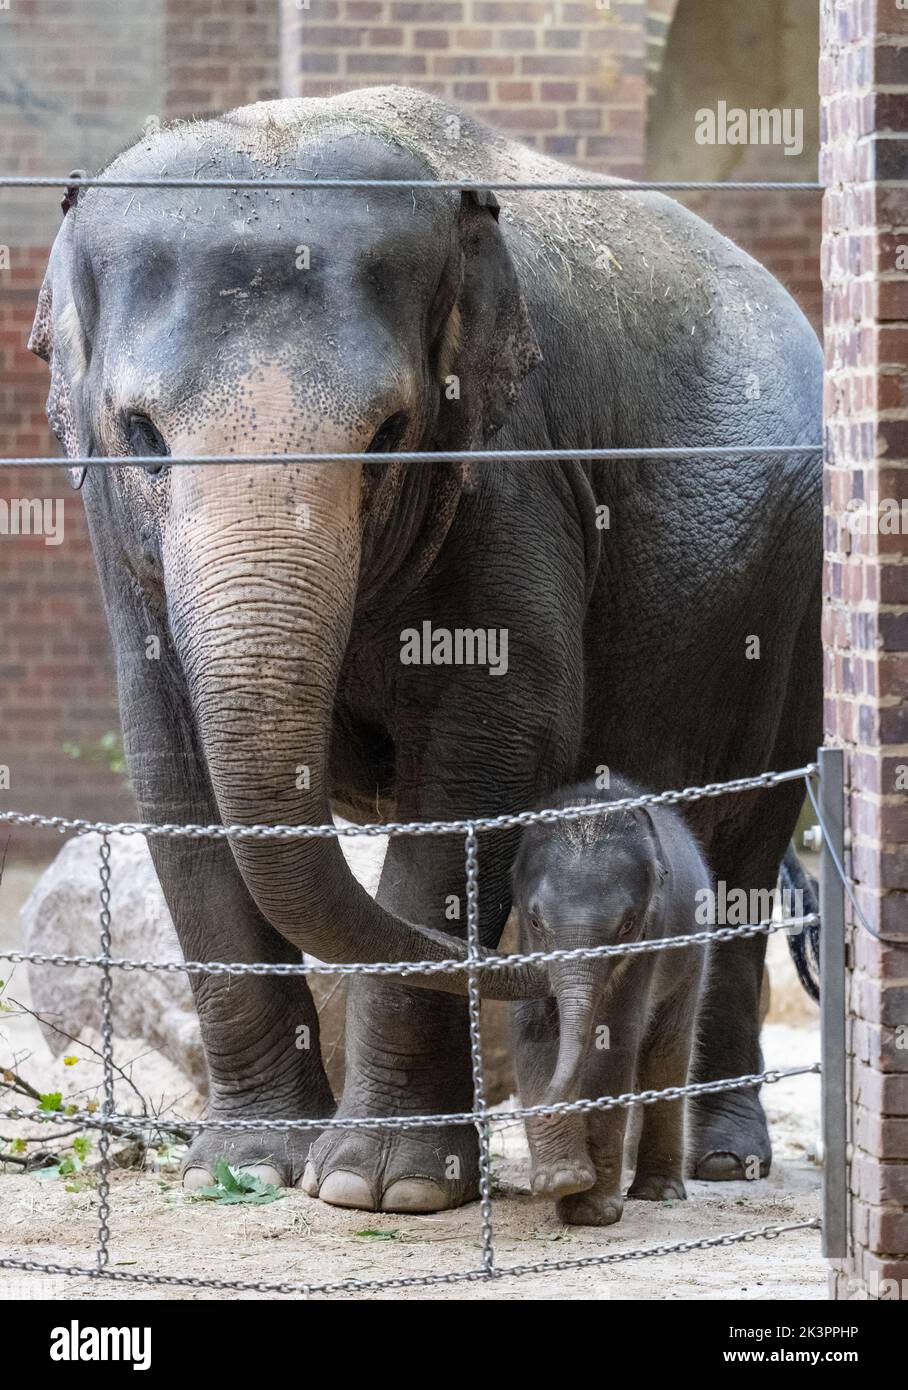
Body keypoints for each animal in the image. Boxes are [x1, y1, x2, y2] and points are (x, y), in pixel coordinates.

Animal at [511, 777, 713, 1226]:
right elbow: (534, 1029)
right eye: (535, 920)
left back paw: (659, 1193)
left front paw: (589, 1211)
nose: (548, 1110)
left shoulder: (653, 934)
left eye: (627, 925)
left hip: (693, 954)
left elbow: (614, 1036)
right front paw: (561, 1179)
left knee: (666, 1049)